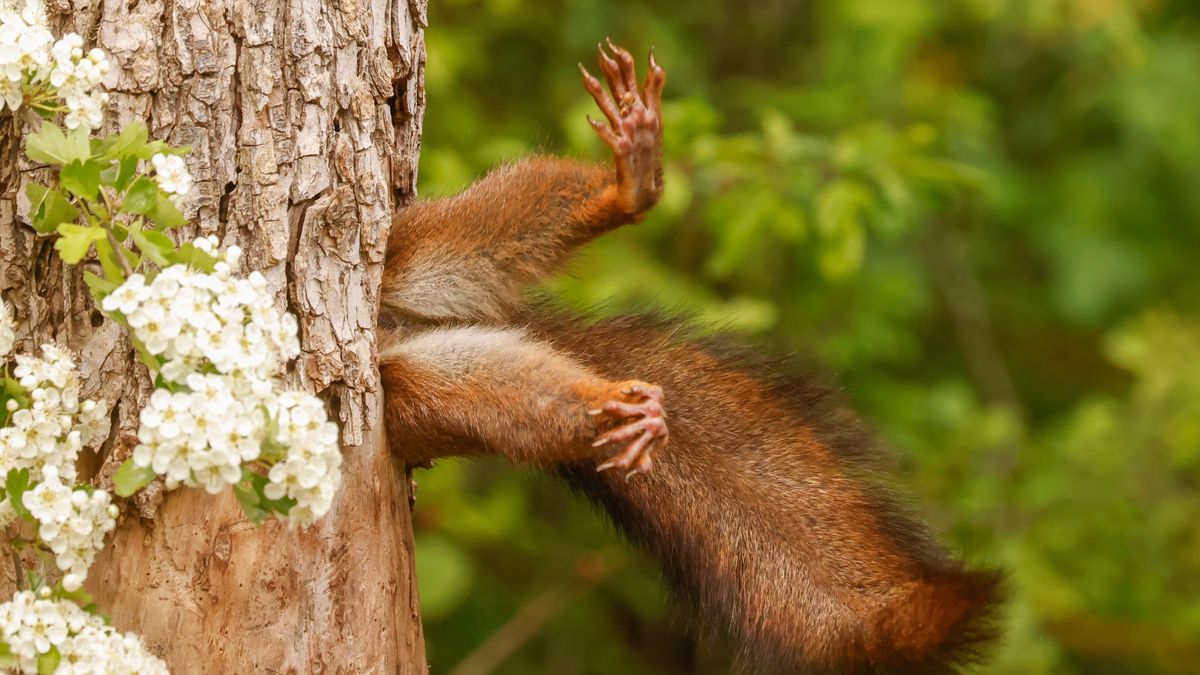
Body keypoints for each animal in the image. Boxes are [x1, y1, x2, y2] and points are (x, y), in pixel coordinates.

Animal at [378, 40, 1004, 674]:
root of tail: (396, 329)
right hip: (415, 393)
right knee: (504, 397)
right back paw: (615, 410)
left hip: (411, 248)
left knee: (489, 228)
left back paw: (629, 186)